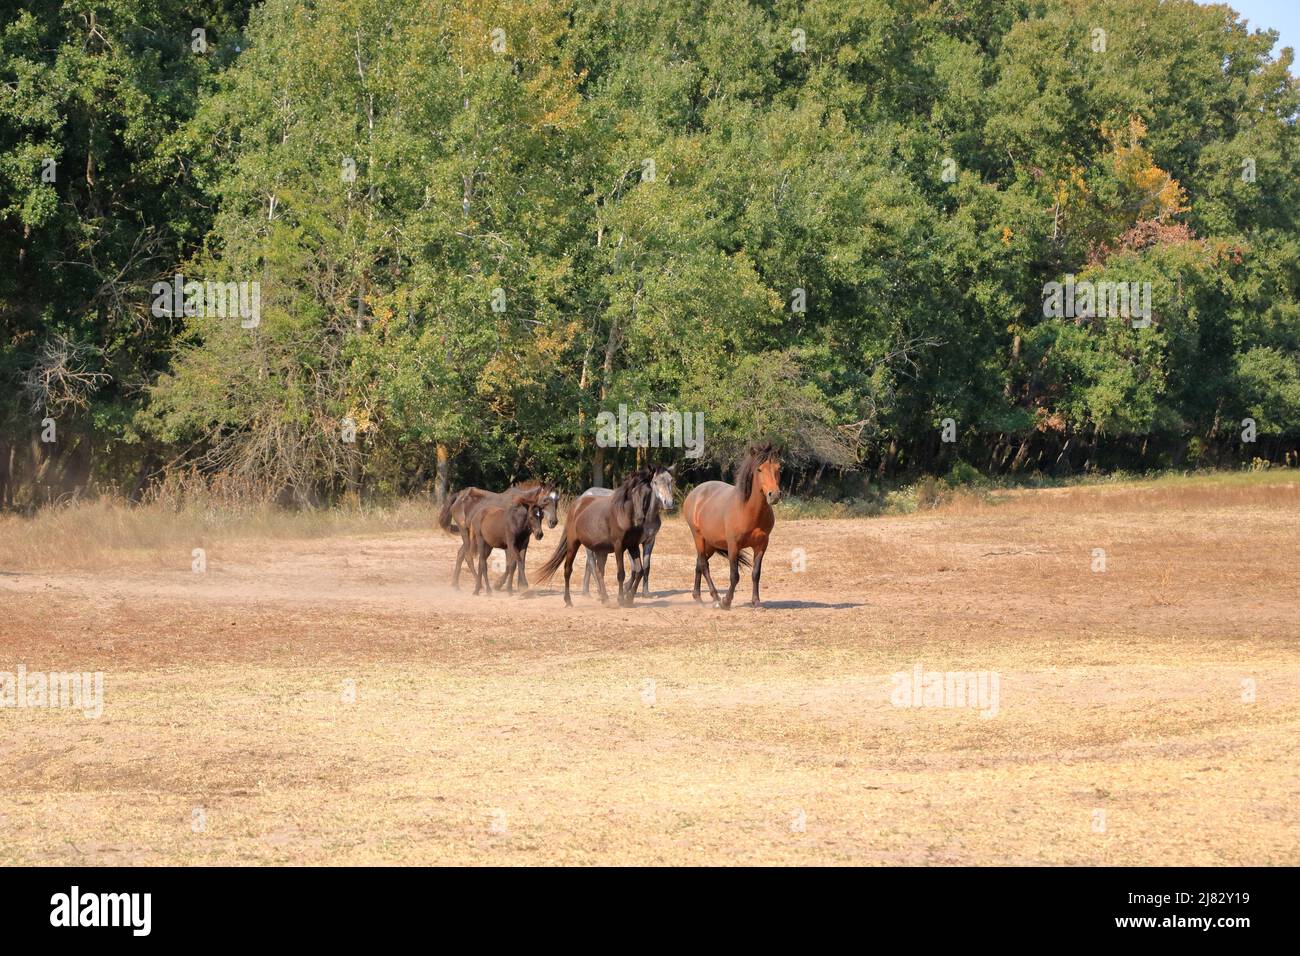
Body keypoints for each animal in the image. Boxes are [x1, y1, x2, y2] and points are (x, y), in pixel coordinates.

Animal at [533, 465, 675, 607]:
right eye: (633, 492)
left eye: (648, 492)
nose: (639, 519)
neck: (623, 515)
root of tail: (577, 503)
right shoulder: (619, 546)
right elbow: (621, 573)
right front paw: (621, 598)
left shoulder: (634, 545)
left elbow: (640, 569)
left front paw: (630, 598)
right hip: (574, 543)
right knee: (570, 569)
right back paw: (569, 601)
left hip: (601, 550)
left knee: (598, 570)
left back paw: (604, 598)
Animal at [681, 442, 782, 609]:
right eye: (759, 469)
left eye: (778, 468)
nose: (774, 495)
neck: (747, 510)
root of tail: (695, 493)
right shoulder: (733, 545)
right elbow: (734, 575)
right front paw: (726, 601)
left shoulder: (762, 545)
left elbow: (756, 573)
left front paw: (756, 601)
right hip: (698, 537)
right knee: (704, 564)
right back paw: (715, 598)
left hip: (710, 543)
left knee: (699, 564)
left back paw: (698, 597)